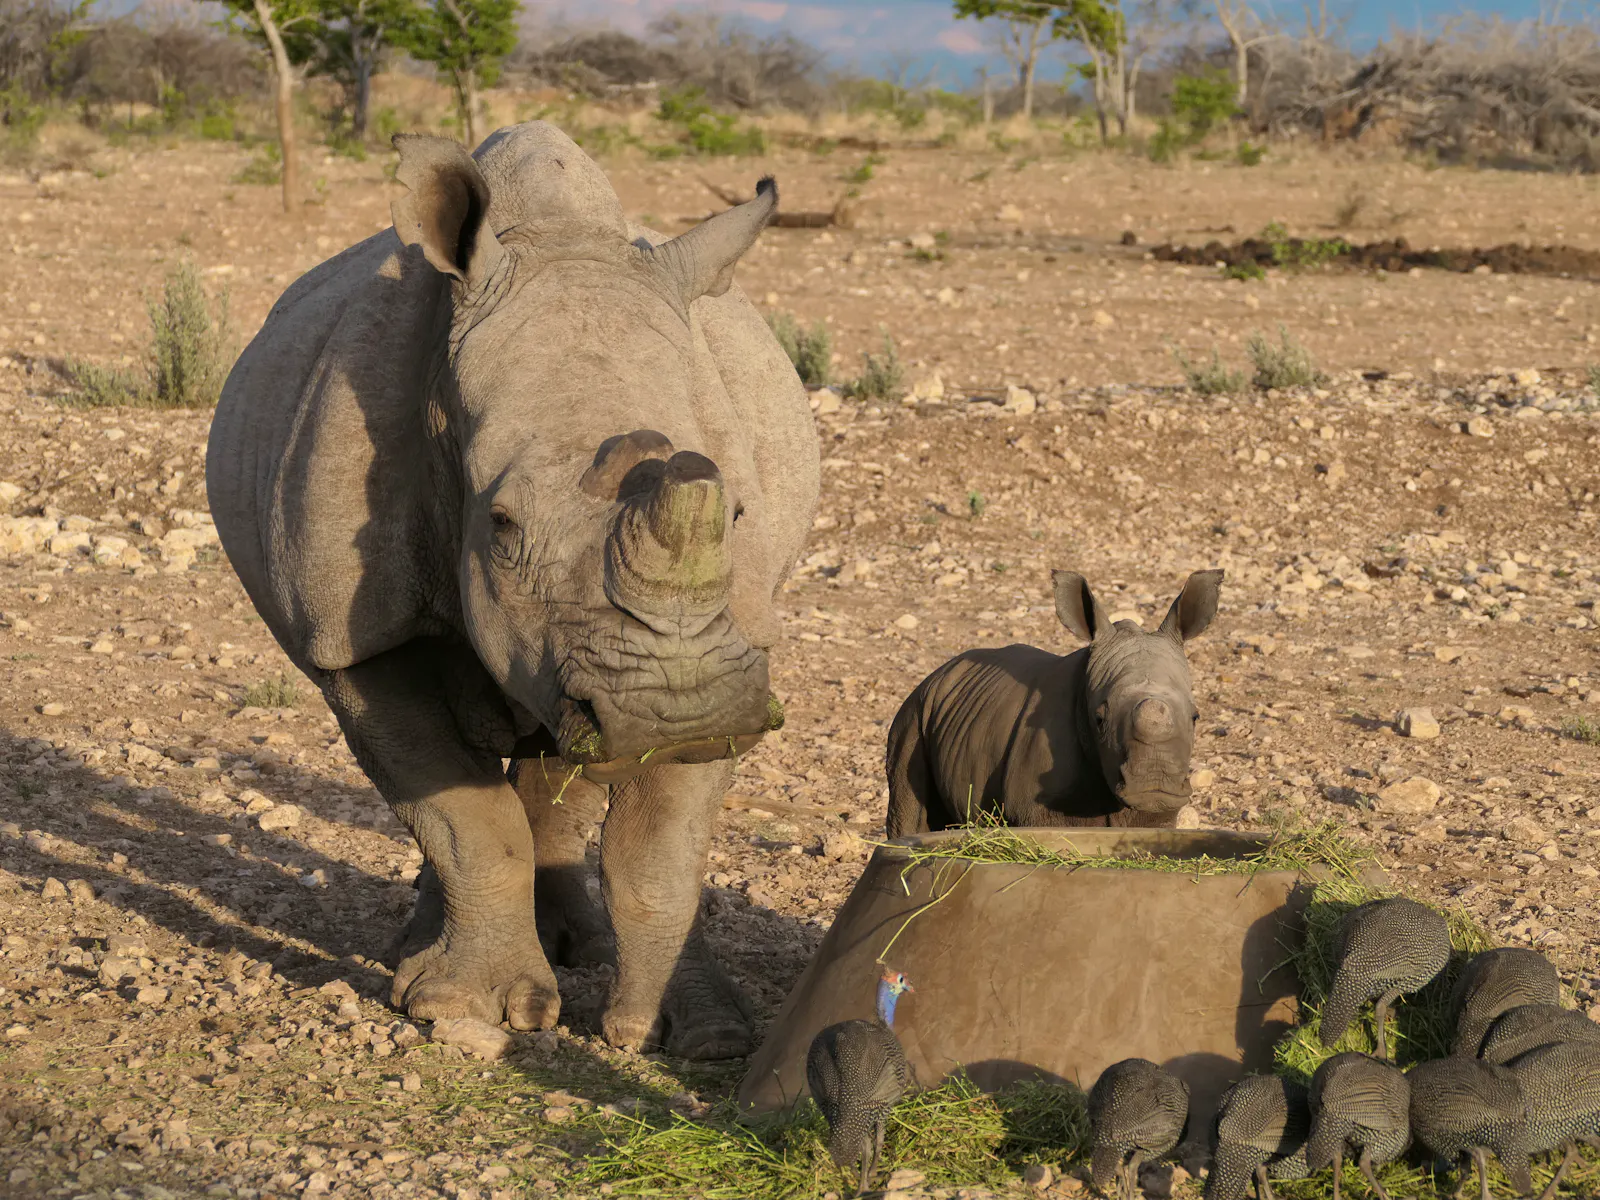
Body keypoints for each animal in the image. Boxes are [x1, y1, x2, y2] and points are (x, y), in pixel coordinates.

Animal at [205, 122, 820, 1058]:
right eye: (499, 525)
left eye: (740, 510)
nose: (675, 713)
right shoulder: (356, 638)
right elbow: (462, 813)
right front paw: (467, 1010)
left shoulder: (726, 650)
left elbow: (662, 849)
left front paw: (695, 1036)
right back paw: (415, 957)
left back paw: (573, 948)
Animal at [884, 569, 1223, 837]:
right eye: (1099, 719)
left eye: (1196, 717)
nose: (1154, 783)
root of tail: (936, 674)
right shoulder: (1036, 810)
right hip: (913, 713)